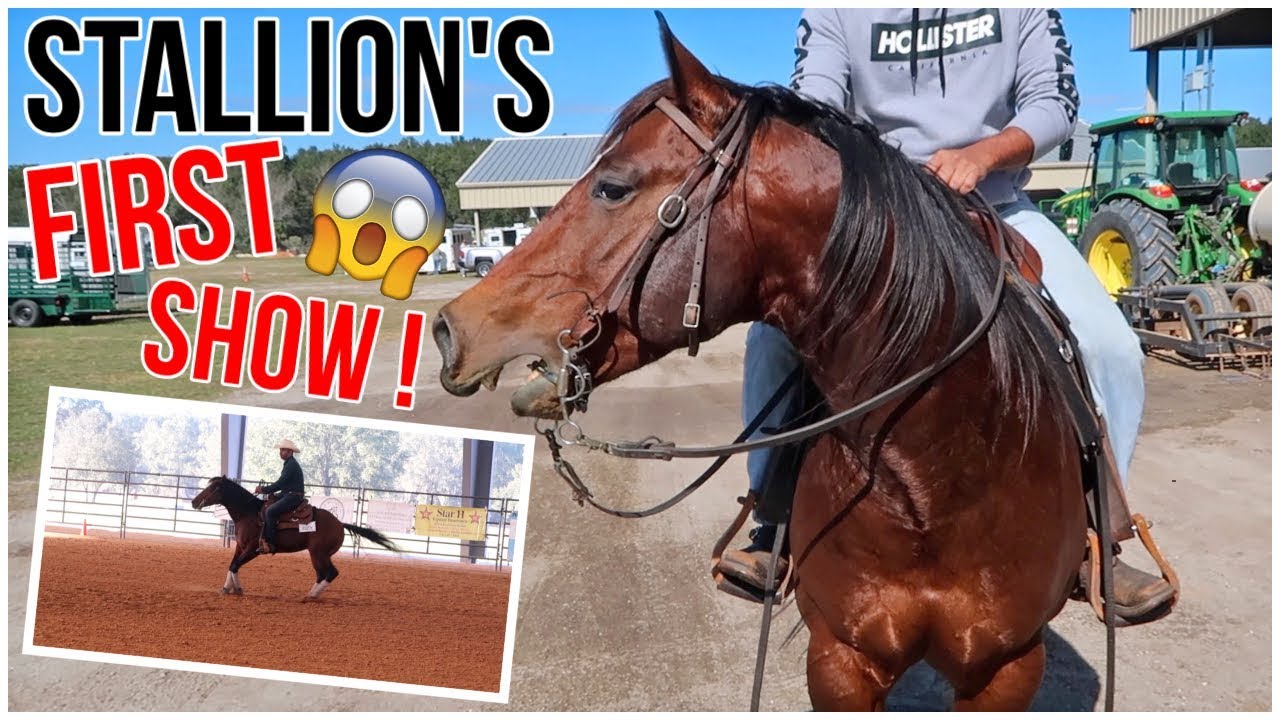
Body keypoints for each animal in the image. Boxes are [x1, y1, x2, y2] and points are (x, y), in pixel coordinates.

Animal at [191, 475, 400, 600]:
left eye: (214, 488)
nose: (194, 502)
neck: (248, 513)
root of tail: (340, 524)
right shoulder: (240, 547)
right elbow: (232, 565)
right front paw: (227, 588)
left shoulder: (252, 549)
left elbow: (235, 565)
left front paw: (238, 589)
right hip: (319, 555)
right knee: (322, 574)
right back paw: (311, 594)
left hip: (318, 553)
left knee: (331, 573)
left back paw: (311, 597)